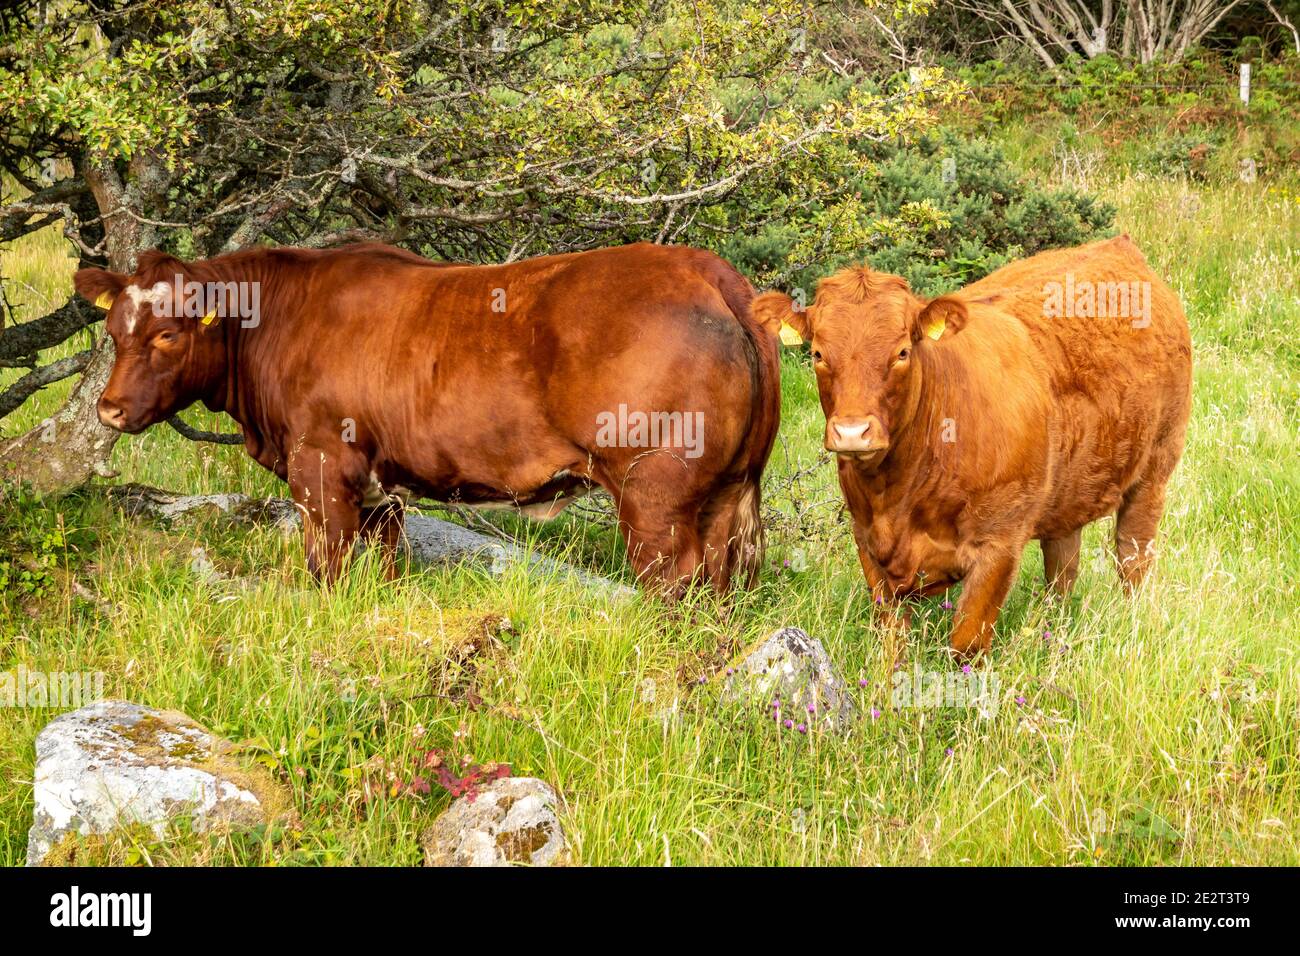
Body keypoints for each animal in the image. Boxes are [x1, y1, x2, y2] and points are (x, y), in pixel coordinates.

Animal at [74, 242, 780, 591]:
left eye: (168, 334)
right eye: (111, 328)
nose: (108, 408)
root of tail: (708, 270)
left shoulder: (321, 464)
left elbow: (327, 568)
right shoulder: (381, 486)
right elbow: (382, 564)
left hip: (654, 492)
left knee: (677, 582)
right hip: (728, 492)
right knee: (722, 584)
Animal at [752, 236, 1192, 659]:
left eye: (902, 352)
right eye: (817, 353)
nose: (852, 431)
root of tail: (1118, 246)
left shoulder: (998, 546)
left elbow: (966, 646)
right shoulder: (869, 543)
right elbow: (891, 644)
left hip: (1154, 472)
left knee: (1132, 559)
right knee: (1062, 566)